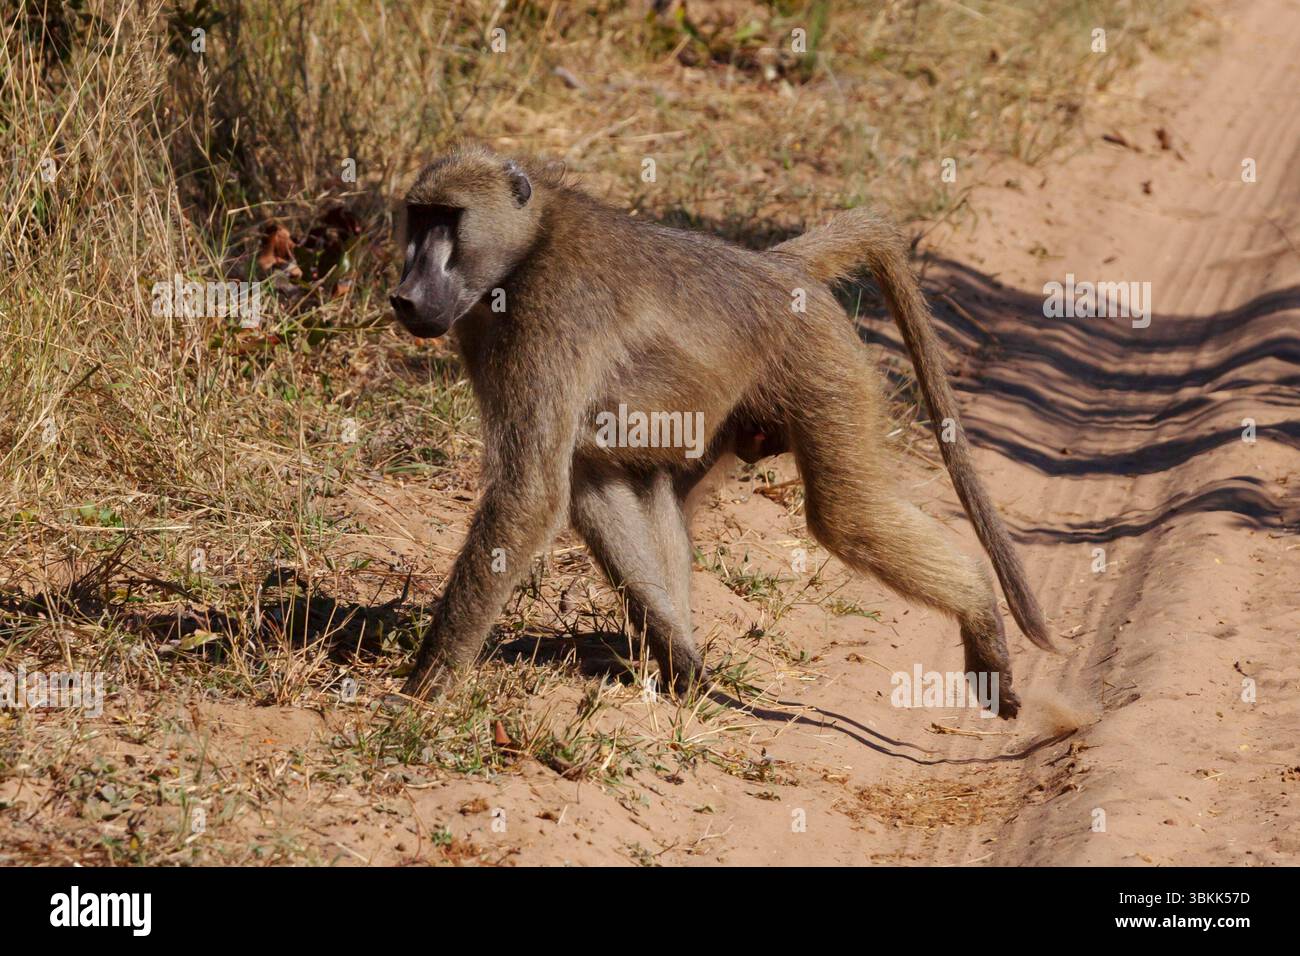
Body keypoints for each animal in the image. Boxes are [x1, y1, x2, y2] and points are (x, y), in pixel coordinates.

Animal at [389, 144, 1053, 718]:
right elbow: (584, 484)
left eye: (447, 220)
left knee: (846, 515)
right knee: (649, 484)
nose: (405, 295)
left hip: (822, 364)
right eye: (416, 219)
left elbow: (531, 494)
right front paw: (683, 661)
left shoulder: (552, 313)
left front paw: (424, 687)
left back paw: (981, 612)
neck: (529, 245)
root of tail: (780, 266)